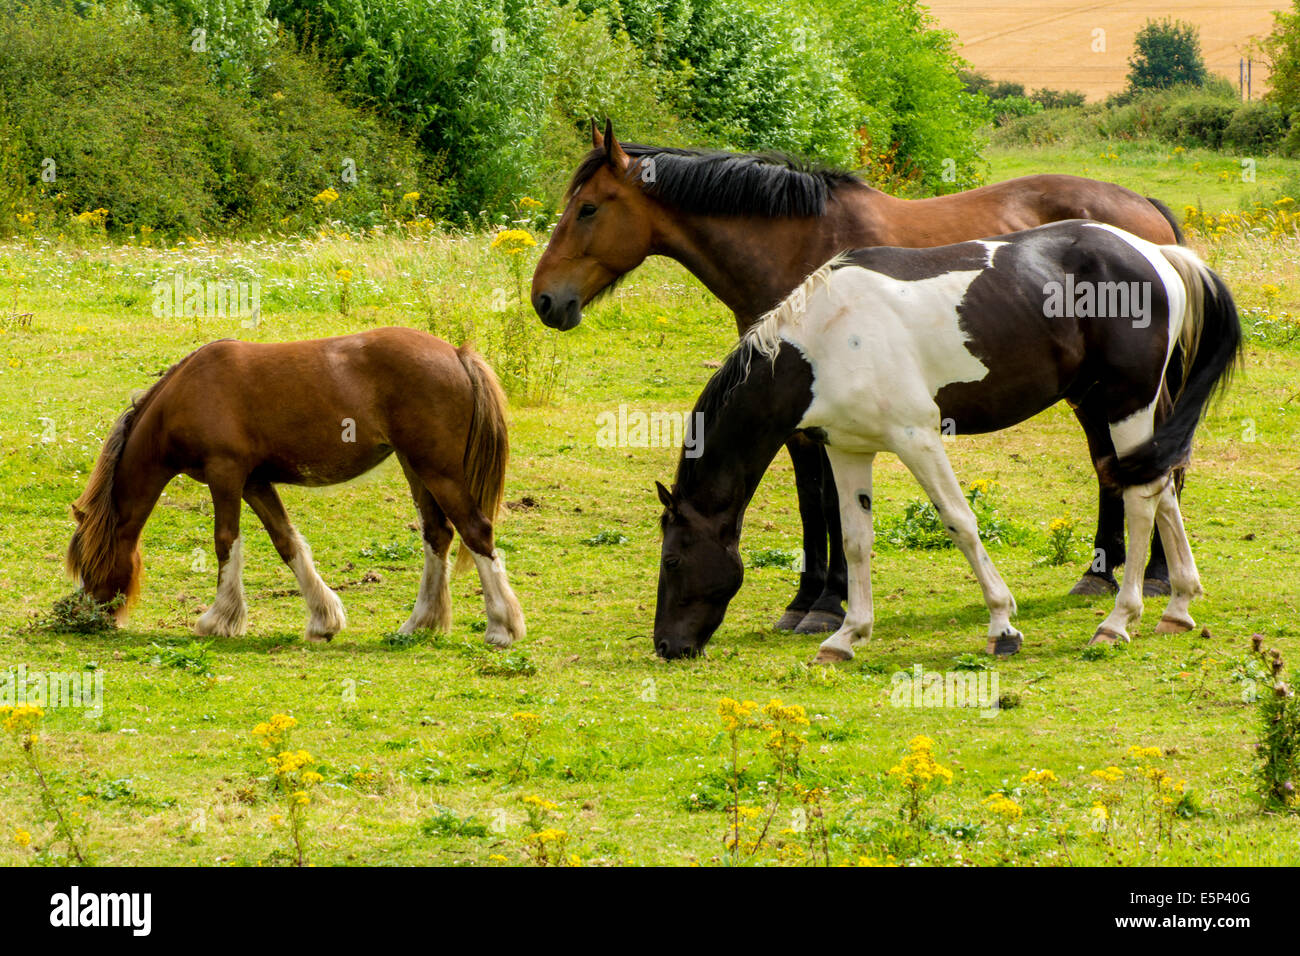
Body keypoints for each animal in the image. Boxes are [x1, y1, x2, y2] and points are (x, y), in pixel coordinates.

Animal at [65, 328, 526, 648]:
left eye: (88, 561)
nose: (88, 617)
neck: (189, 393)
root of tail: (457, 354)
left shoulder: (225, 474)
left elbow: (225, 542)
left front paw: (218, 620)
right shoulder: (255, 481)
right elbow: (287, 542)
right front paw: (324, 619)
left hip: (438, 470)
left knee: (476, 532)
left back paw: (501, 627)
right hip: (417, 468)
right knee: (438, 535)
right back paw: (418, 625)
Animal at [533, 120, 1188, 637]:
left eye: (588, 208)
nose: (545, 299)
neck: (796, 248)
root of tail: (1145, 211)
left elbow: (826, 503)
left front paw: (827, 603)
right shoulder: (801, 417)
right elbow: (814, 505)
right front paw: (807, 601)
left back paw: (1154, 579)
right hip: (1091, 392)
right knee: (1116, 467)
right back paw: (1102, 575)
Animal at [650, 220, 1241, 662]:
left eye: (673, 561)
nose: (667, 647)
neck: (825, 339)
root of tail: (1157, 255)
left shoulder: (918, 439)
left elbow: (960, 522)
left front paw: (1003, 626)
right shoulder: (847, 448)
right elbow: (855, 538)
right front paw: (846, 635)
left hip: (1125, 405)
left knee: (1142, 500)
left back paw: (1117, 622)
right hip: (1122, 410)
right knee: (1161, 488)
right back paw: (1178, 607)